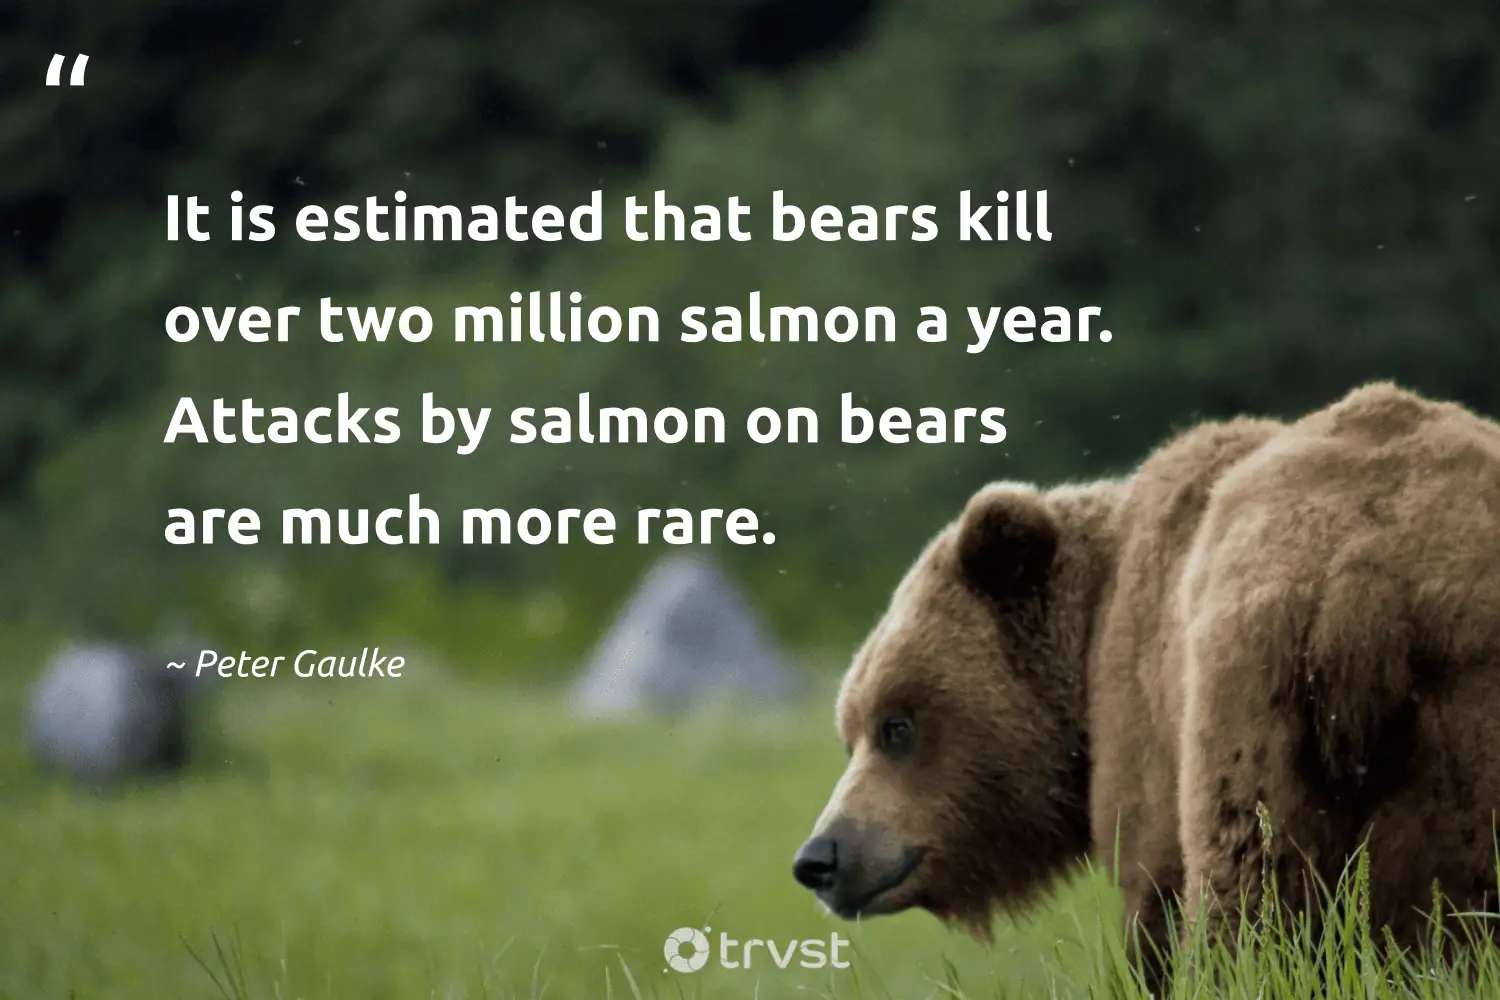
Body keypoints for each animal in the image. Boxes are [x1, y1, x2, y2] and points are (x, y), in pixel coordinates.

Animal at [792, 382, 1500, 976]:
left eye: (896, 725)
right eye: (850, 733)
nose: (819, 858)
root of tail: (1362, 577)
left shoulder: (1145, 714)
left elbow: (1154, 883)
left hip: (1256, 696)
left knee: (1251, 885)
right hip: (1457, 714)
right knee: (1453, 896)